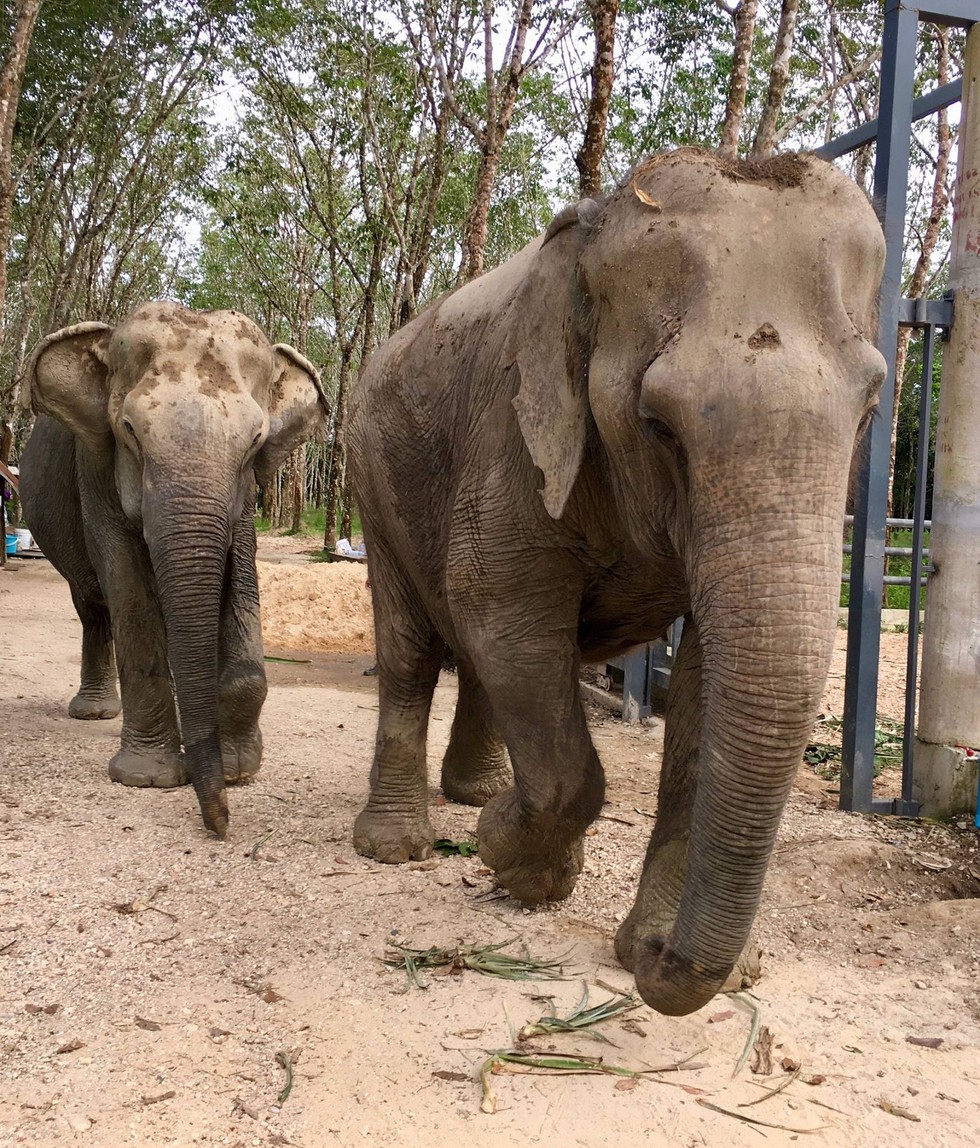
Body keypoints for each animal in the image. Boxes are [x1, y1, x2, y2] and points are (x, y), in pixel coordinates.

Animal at [18, 302, 325, 838]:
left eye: (256, 440)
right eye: (129, 430)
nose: (221, 827)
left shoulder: (245, 493)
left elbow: (241, 575)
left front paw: (237, 768)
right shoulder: (94, 466)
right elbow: (130, 588)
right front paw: (151, 778)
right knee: (92, 606)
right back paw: (95, 713)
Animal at [348, 148, 886, 1017]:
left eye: (871, 409)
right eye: (658, 424)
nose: (665, 961)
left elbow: (701, 679)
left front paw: (678, 955)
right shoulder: (514, 430)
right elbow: (501, 609)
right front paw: (513, 859)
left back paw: (472, 795)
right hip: (372, 477)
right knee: (413, 649)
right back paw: (401, 844)